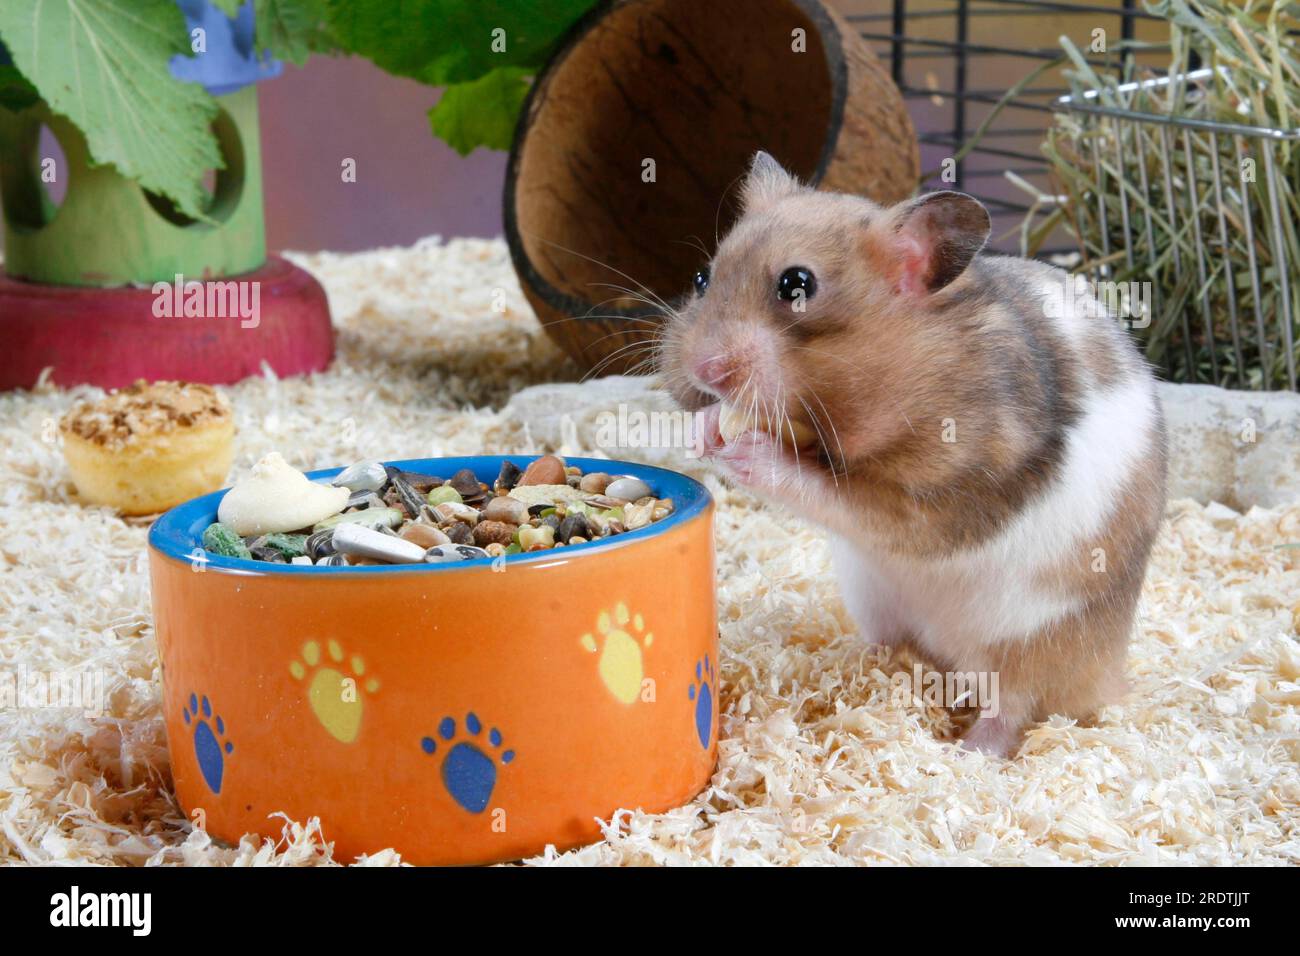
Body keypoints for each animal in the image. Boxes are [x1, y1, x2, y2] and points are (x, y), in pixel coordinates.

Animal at [659, 151, 1167, 757]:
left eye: (796, 284)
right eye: (701, 277)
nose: (703, 370)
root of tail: (1110, 676)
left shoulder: (937, 499)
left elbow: (830, 491)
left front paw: (747, 448)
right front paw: (705, 429)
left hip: (1034, 639)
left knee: (1014, 706)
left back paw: (968, 753)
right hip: (876, 602)